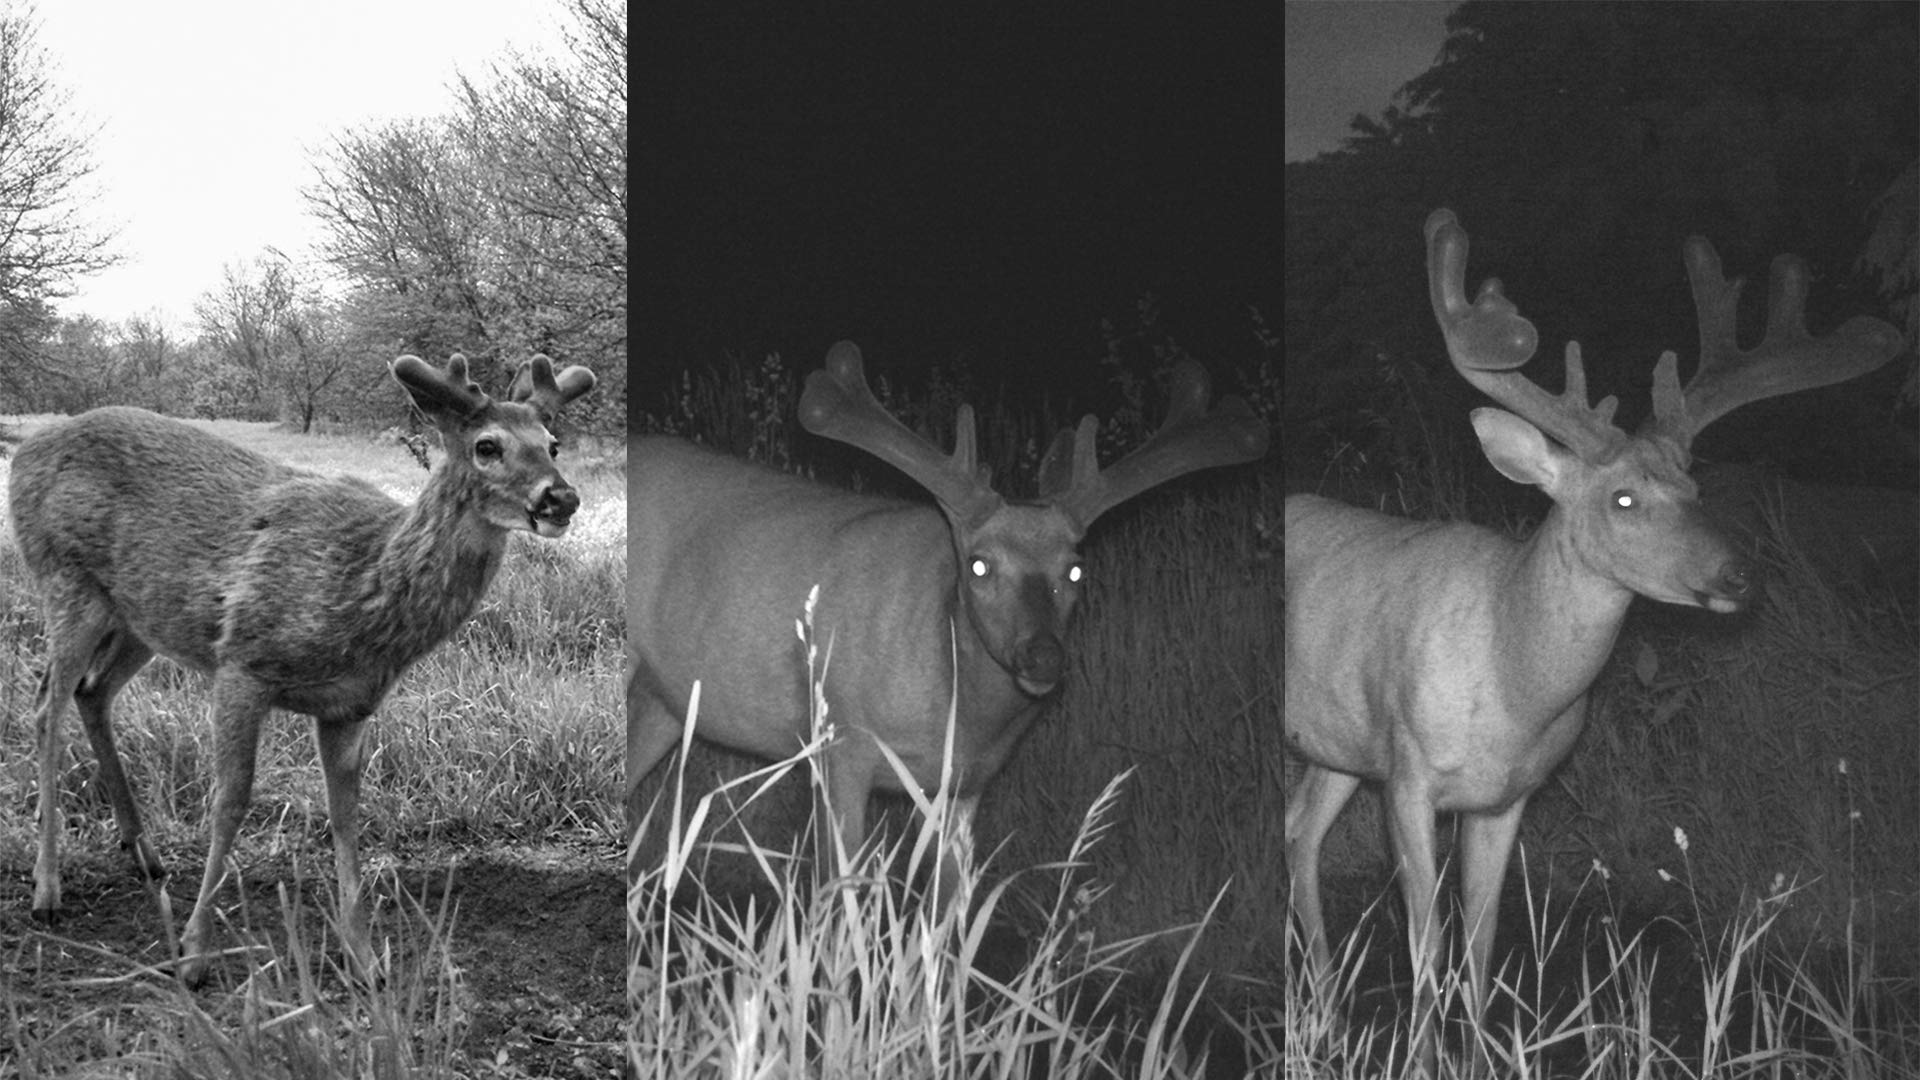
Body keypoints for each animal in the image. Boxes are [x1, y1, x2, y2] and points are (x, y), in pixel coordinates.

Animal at [8, 353, 595, 987]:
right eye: (487, 445)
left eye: (553, 443)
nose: (560, 498)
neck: (363, 590)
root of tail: (25, 452)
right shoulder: (240, 664)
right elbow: (229, 803)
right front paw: (192, 954)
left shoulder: (351, 706)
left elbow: (346, 817)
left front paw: (365, 959)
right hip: (66, 580)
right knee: (46, 706)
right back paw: (47, 888)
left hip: (139, 619)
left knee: (92, 693)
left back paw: (143, 852)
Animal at [627, 341, 1268, 900]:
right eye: (979, 564)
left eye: (1076, 569)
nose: (1043, 656)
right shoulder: (841, 737)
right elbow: (838, 902)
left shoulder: (965, 783)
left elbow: (946, 919)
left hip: (665, 701)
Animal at [1283, 209, 1902, 1070]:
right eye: (1623, 498)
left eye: (1695, 484)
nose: (1741, 575)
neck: (1512, 679)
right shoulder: (1407, 771)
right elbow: (1427, 945)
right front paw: (1422, 1056)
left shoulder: (1507, 798)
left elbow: (1480, 943)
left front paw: (1479, 1055)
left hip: (1337, 740)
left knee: (1298, 828)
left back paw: (1325, 1010)